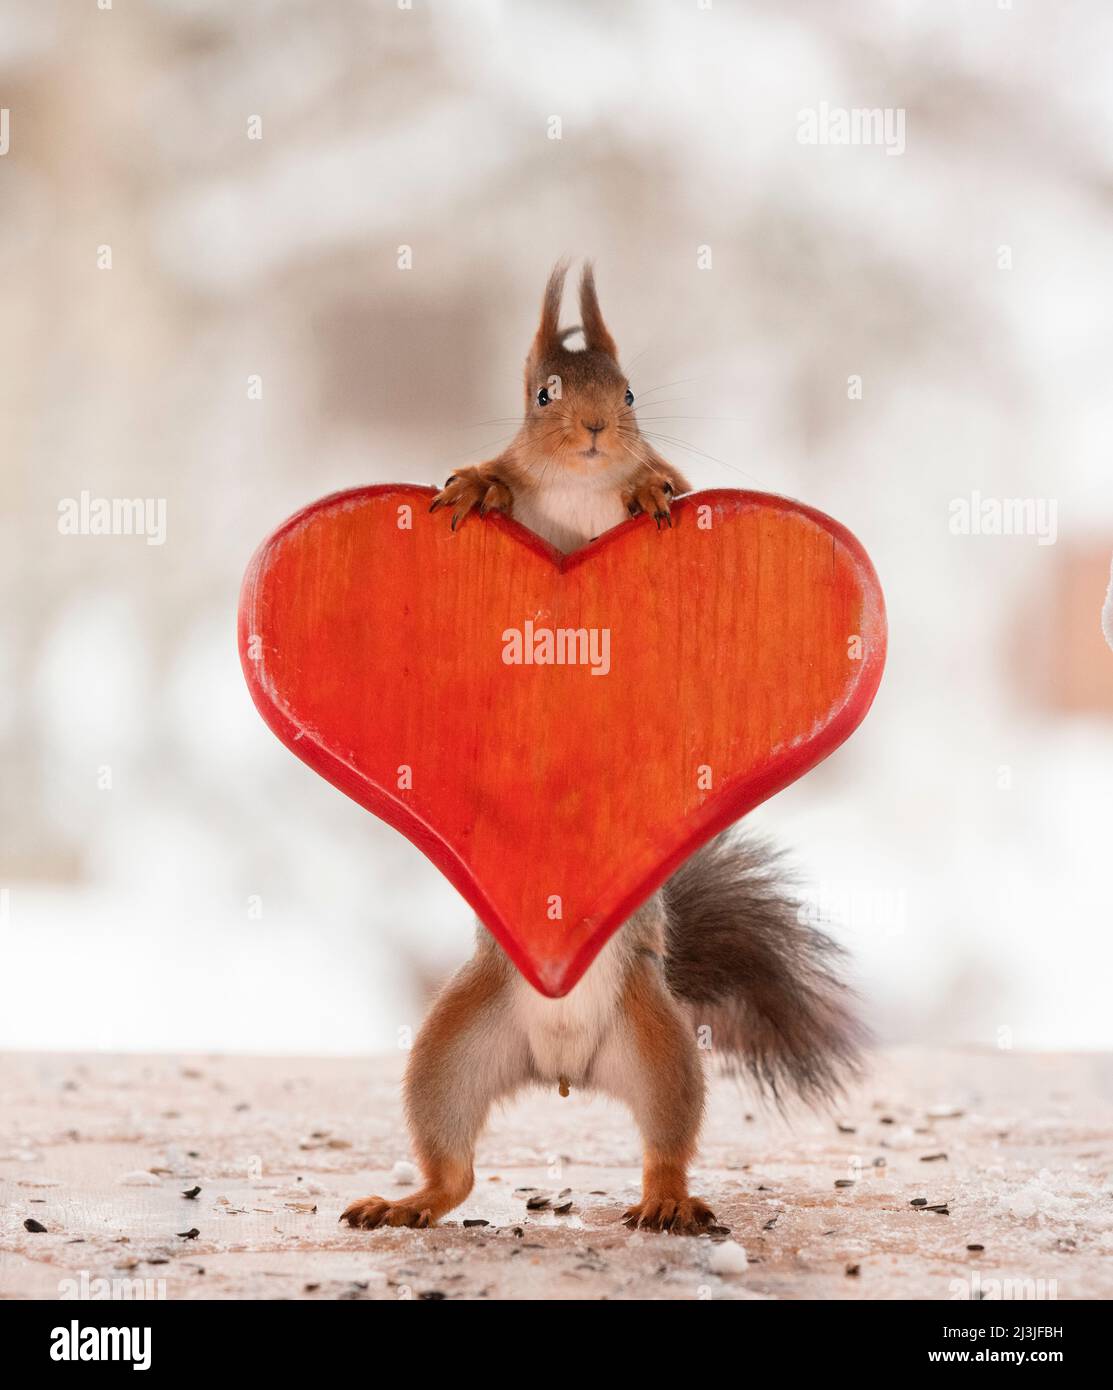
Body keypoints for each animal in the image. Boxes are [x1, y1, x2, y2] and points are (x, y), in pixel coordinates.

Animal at [341, 262, 865, 1236]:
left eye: (626, 393)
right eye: (543, 393)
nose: (591, 430)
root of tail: (564, 1068)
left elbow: (671, 483)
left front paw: (647, 492)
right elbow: (504, 480)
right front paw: (478, 487)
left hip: (658, 1044)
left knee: (665, 1139)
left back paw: (664, 1201)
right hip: (451, 1045)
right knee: (452, 1165)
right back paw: (407, 1202)